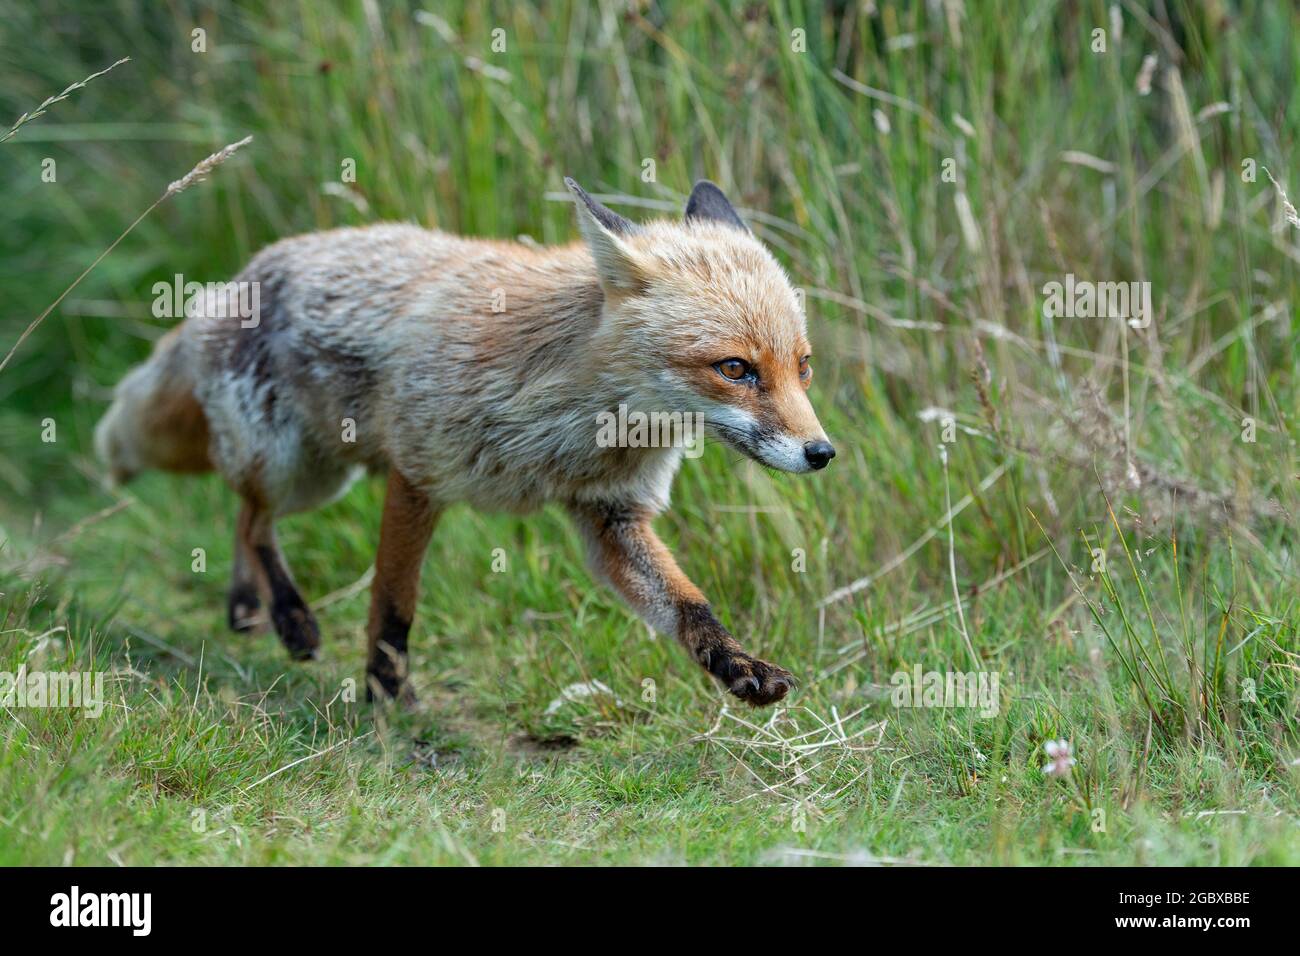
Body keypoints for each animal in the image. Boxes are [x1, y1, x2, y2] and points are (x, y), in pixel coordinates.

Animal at [94, 178, 836, 707]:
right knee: (252, 517)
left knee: (245, 515)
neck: (574, 426)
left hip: (314, 475)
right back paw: (289, 617)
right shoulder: (417, 476)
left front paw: (738, 667)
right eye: (735, 369)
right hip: (297, 469)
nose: (822, 454)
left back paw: (247, 607)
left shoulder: (612, 516)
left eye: (803, 367)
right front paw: (387, 698)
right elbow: (394, 604)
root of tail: (235, 277)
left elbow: (690, 607)